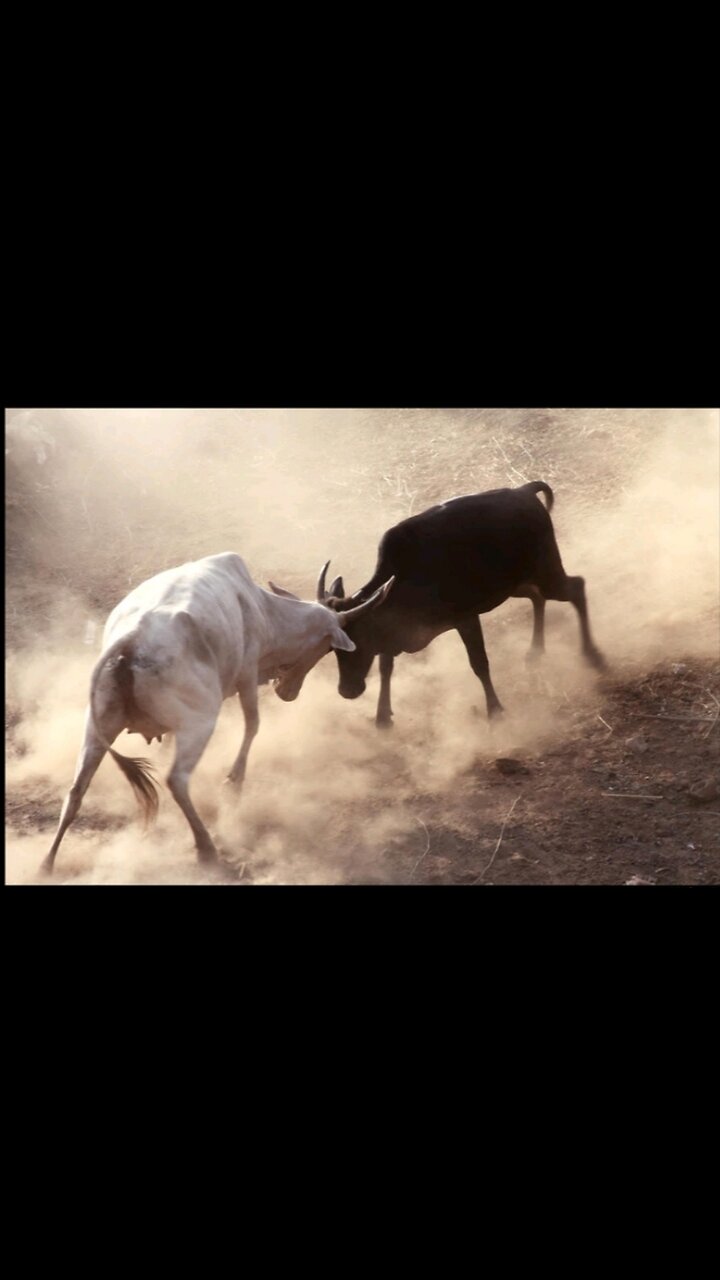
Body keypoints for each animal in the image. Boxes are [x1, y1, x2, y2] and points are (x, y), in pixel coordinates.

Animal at [41, 552, 392, 875]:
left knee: (75, 791)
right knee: (176, 780)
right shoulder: (247, 673)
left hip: (98, 725)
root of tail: (130, 642)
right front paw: (233, 783)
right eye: (329, 647)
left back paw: (47, 862)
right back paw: (206, 847)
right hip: (201, 723)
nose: (287, 692)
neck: (261, 607)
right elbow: (253, 724)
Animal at [316, 481, 605, 728]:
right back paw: (535, 653)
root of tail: (524, 491)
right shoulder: (391, 634)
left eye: (356, 643)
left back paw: (592, 655)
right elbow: (386, 668)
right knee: (538, 598)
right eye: (332, 648)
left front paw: (495, 710)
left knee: (576, 588)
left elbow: (479, 663)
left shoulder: (466, 619)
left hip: (547, 574)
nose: (347, 690)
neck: (406, 581)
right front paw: (382, 716)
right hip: (517, 584)